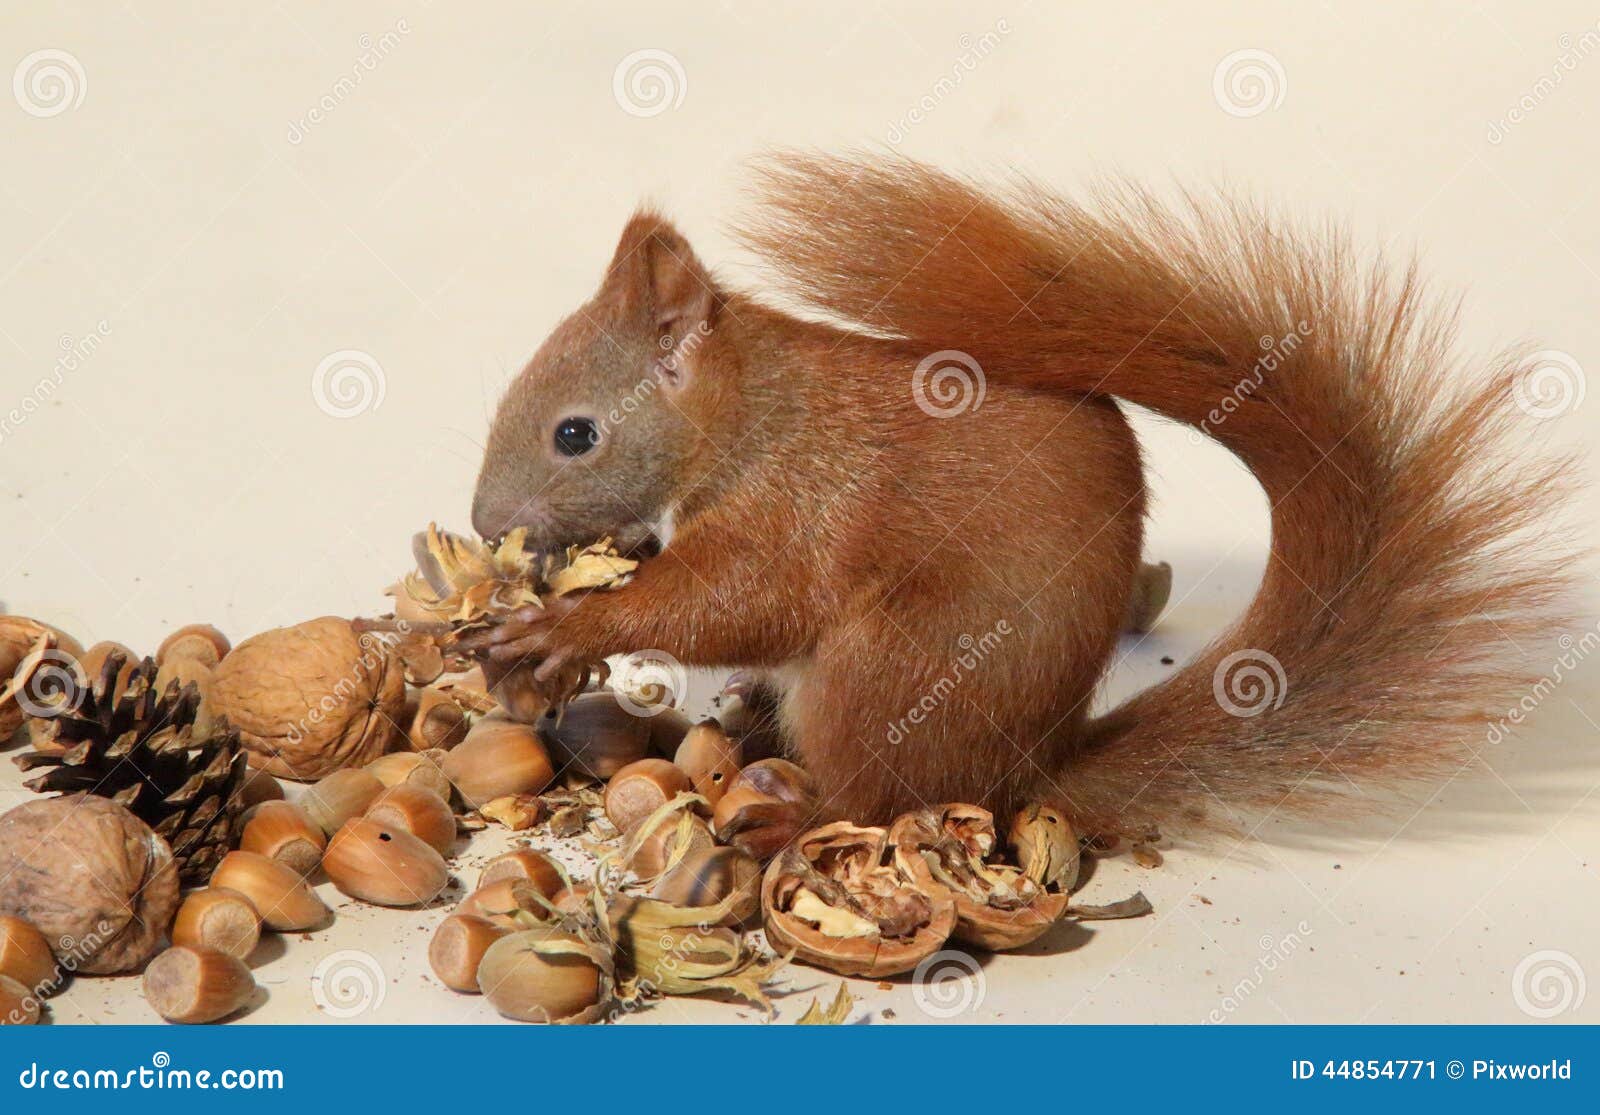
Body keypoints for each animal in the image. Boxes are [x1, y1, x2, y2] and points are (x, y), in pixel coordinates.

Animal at [463, 152, 1573, 839]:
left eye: (575, 433)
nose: (486, 526)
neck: (747, 416)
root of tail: (1025, 772)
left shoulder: (802, 505)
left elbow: (741, 600)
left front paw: (566, 626)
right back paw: (741, 724)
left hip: (890, 676)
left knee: (871, 800)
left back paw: (785, 815)